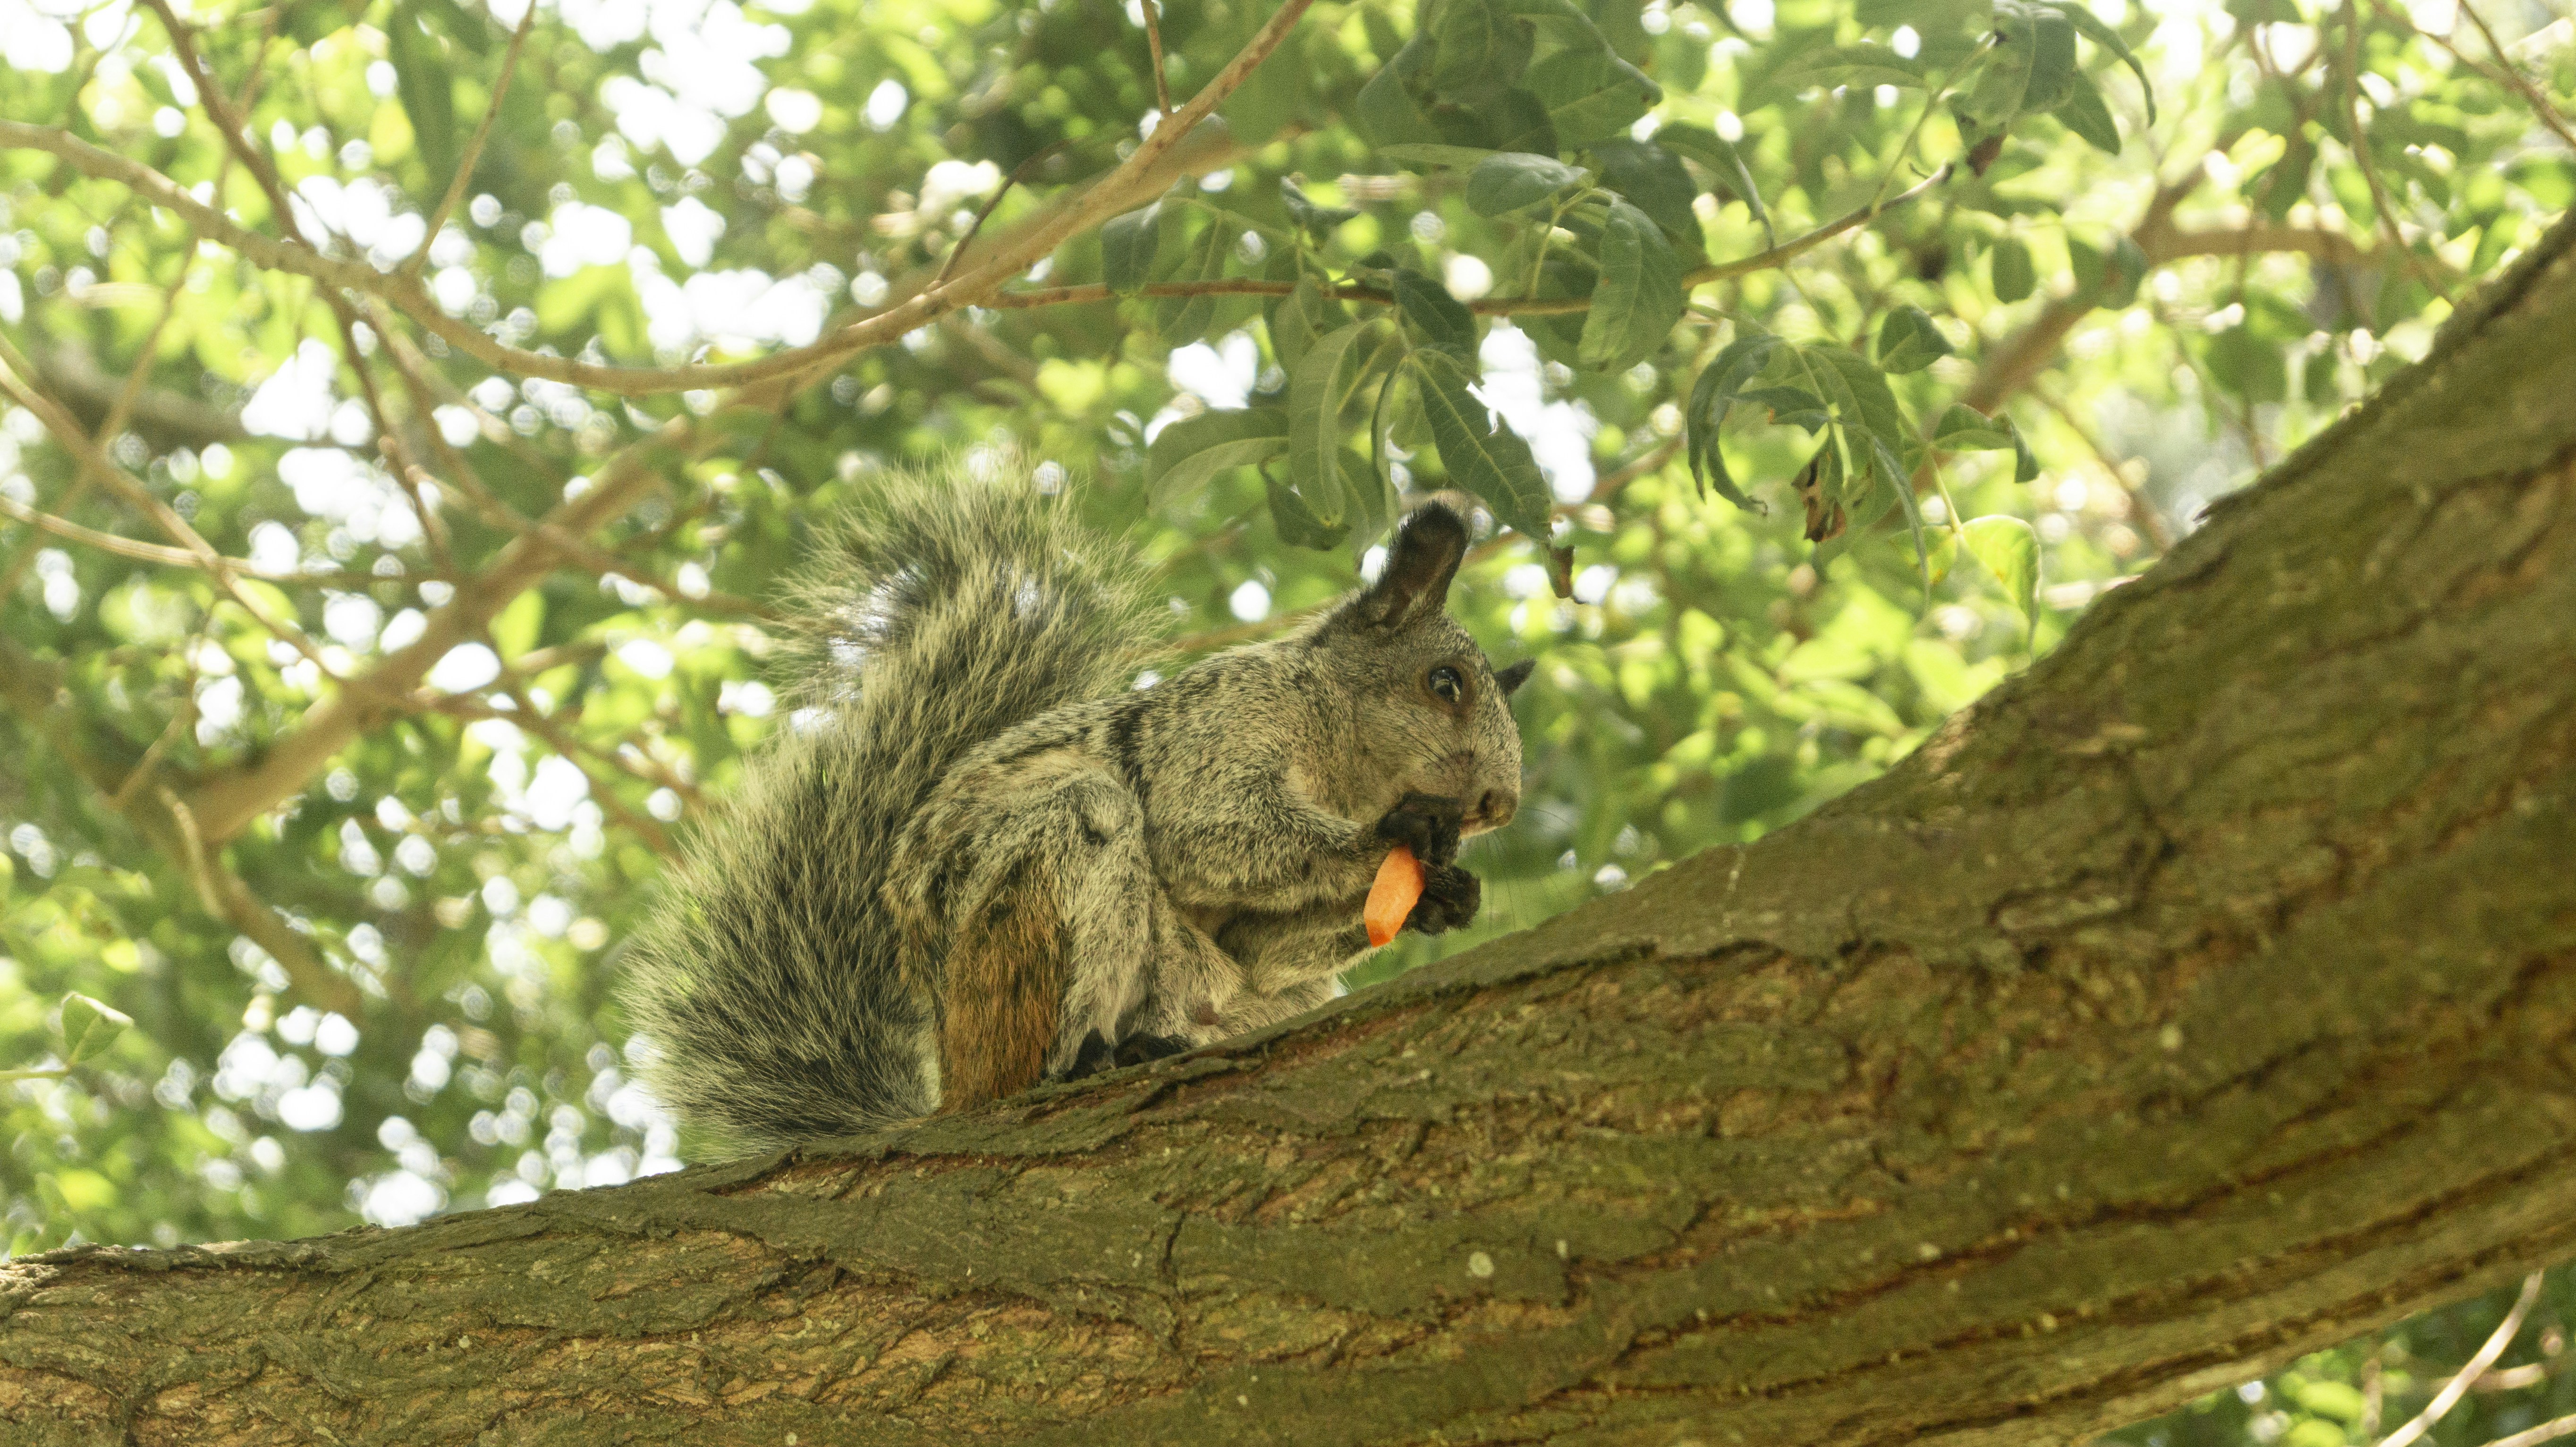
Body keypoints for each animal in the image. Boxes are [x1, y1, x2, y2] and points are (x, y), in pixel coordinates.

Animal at [617, 459, 1529, 1157]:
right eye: (1444, 683)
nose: (1500, 802)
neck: (1338, 765)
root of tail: (951, 1078)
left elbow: (1261, 947)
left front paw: (1447, 896)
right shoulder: (1220, 728)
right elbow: (1205, 833)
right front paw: (1390, 839)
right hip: (1045, 900)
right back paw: (1087, 1062)